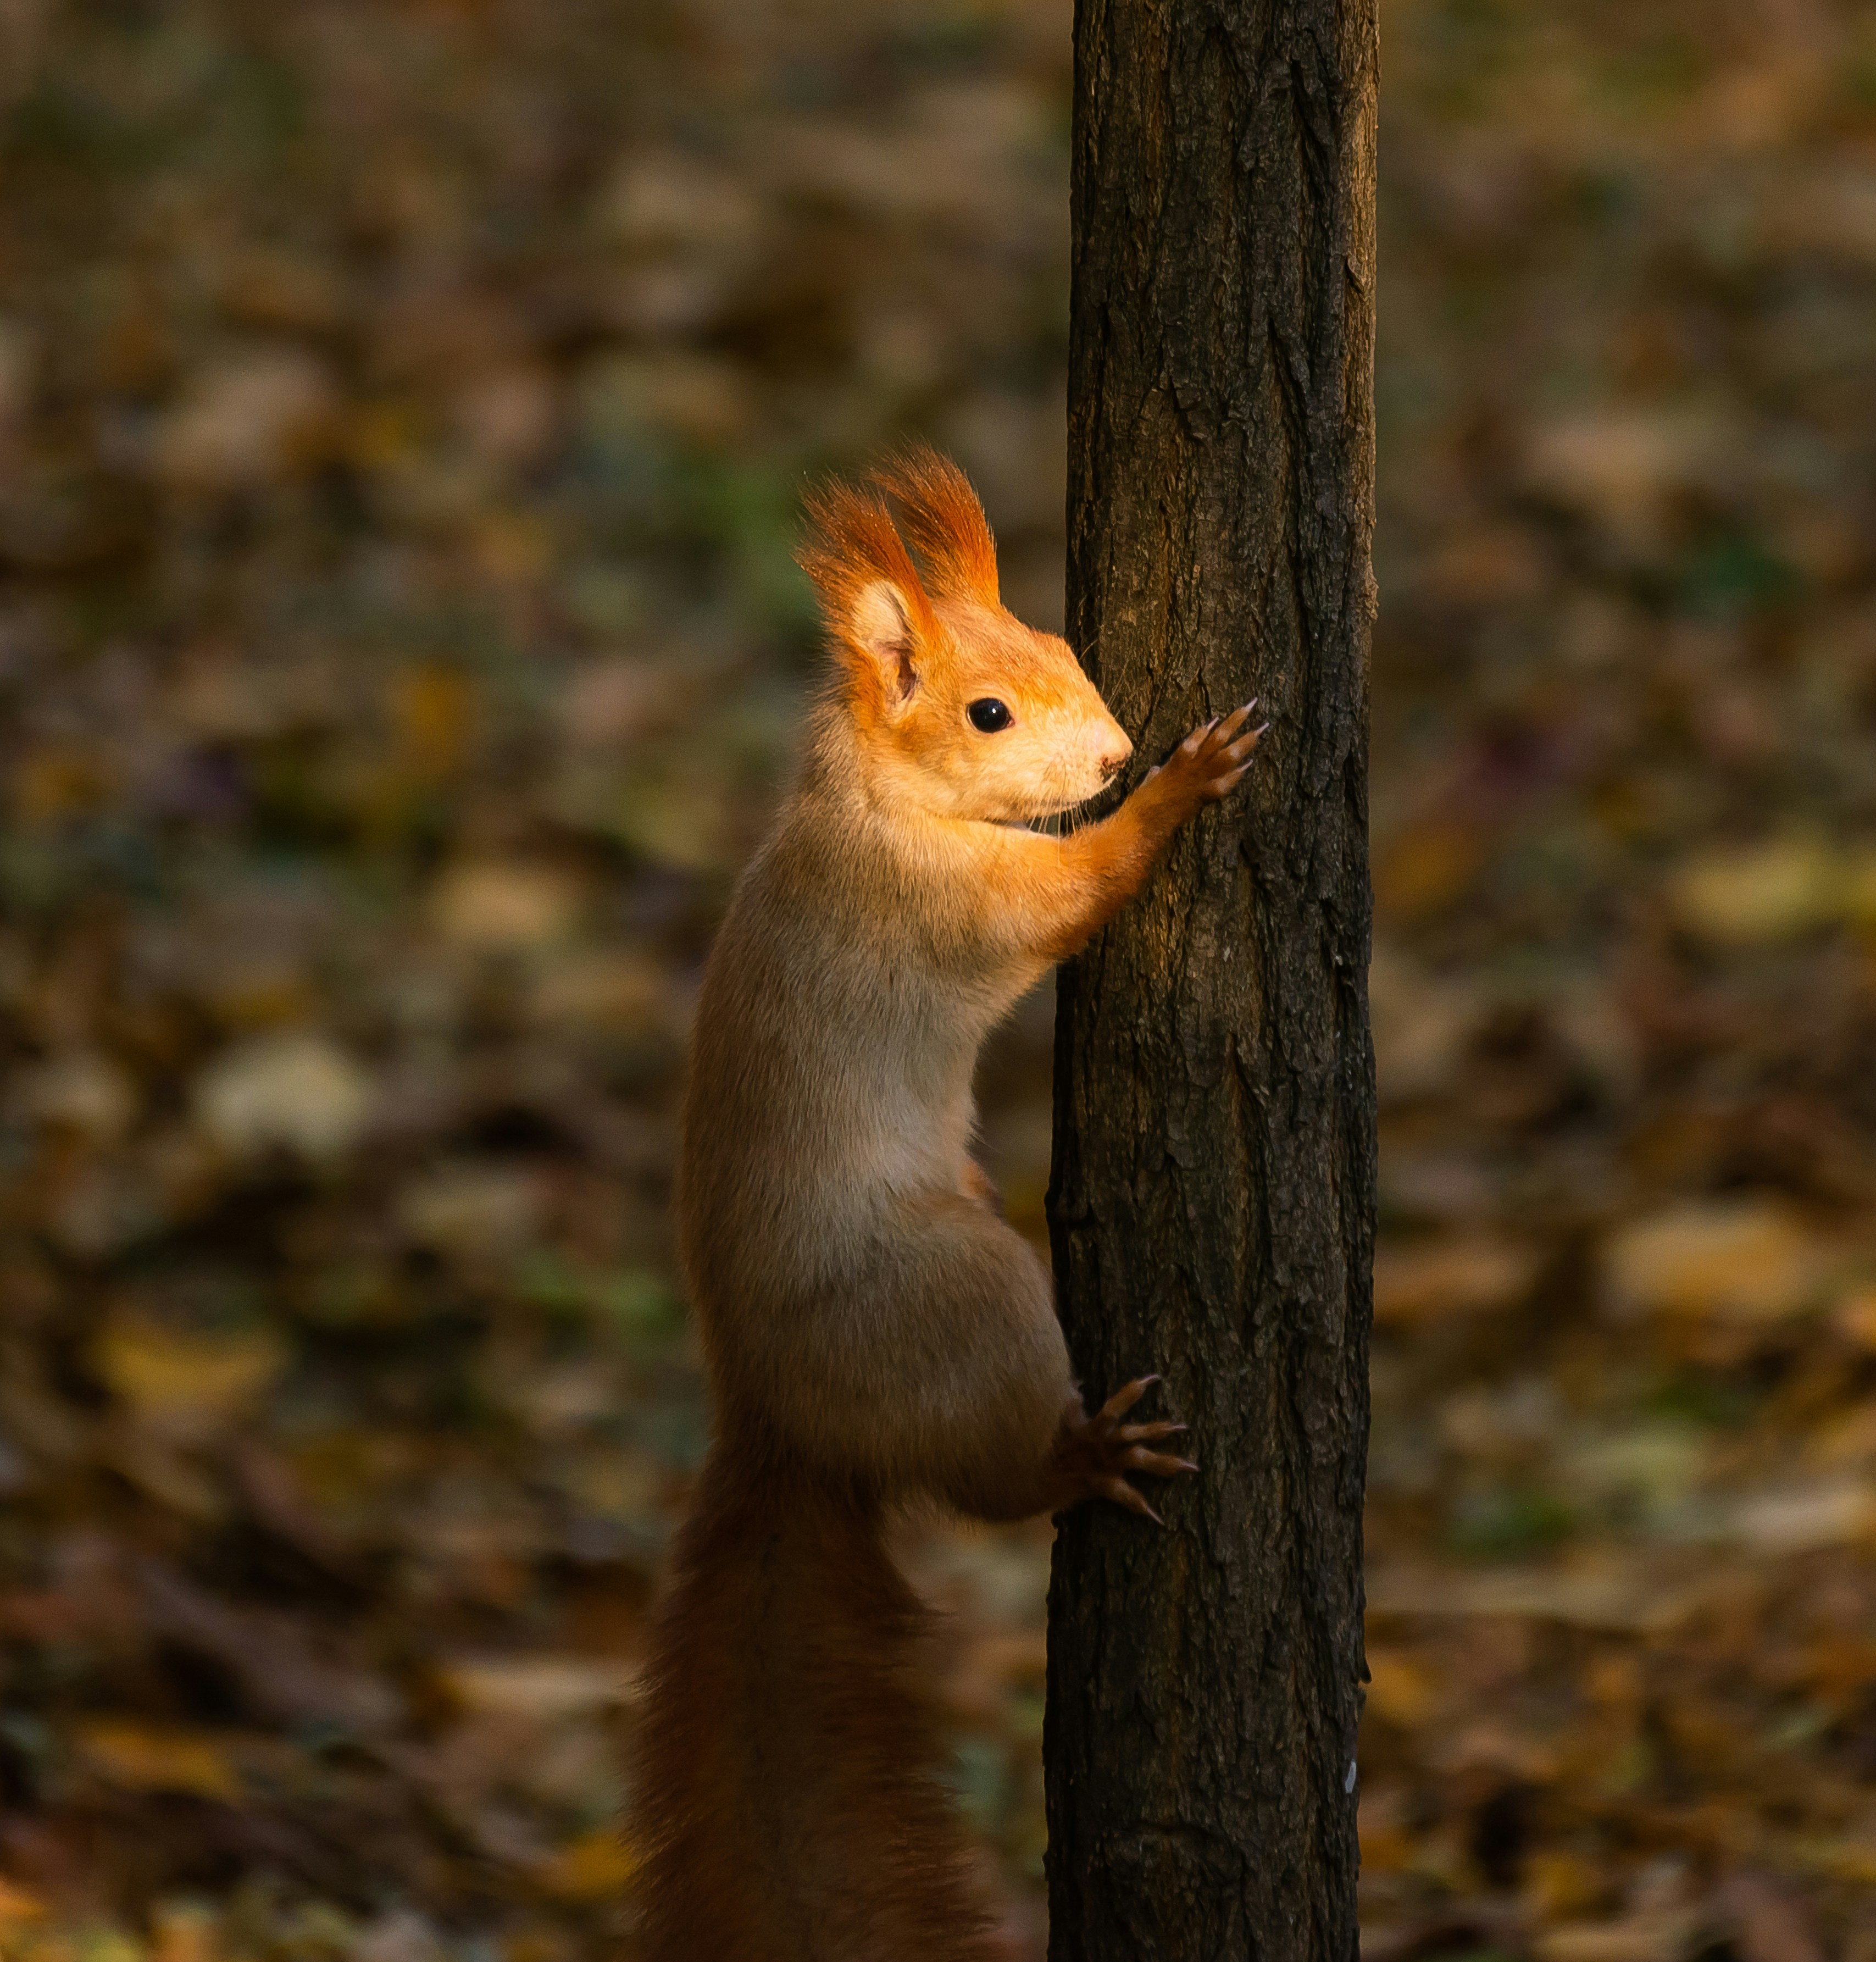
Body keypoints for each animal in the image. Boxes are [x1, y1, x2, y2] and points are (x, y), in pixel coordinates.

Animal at [629, 448, 1263, 1960]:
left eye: (1061, 648)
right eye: (985, 713)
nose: (1111, 756)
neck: (872, 805)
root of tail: (774, 1411)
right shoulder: (949, 906)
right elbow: (1077, 891)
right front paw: (1178, 789)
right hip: (953, 1298)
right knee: (998, 1480)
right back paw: (1086, 1457)